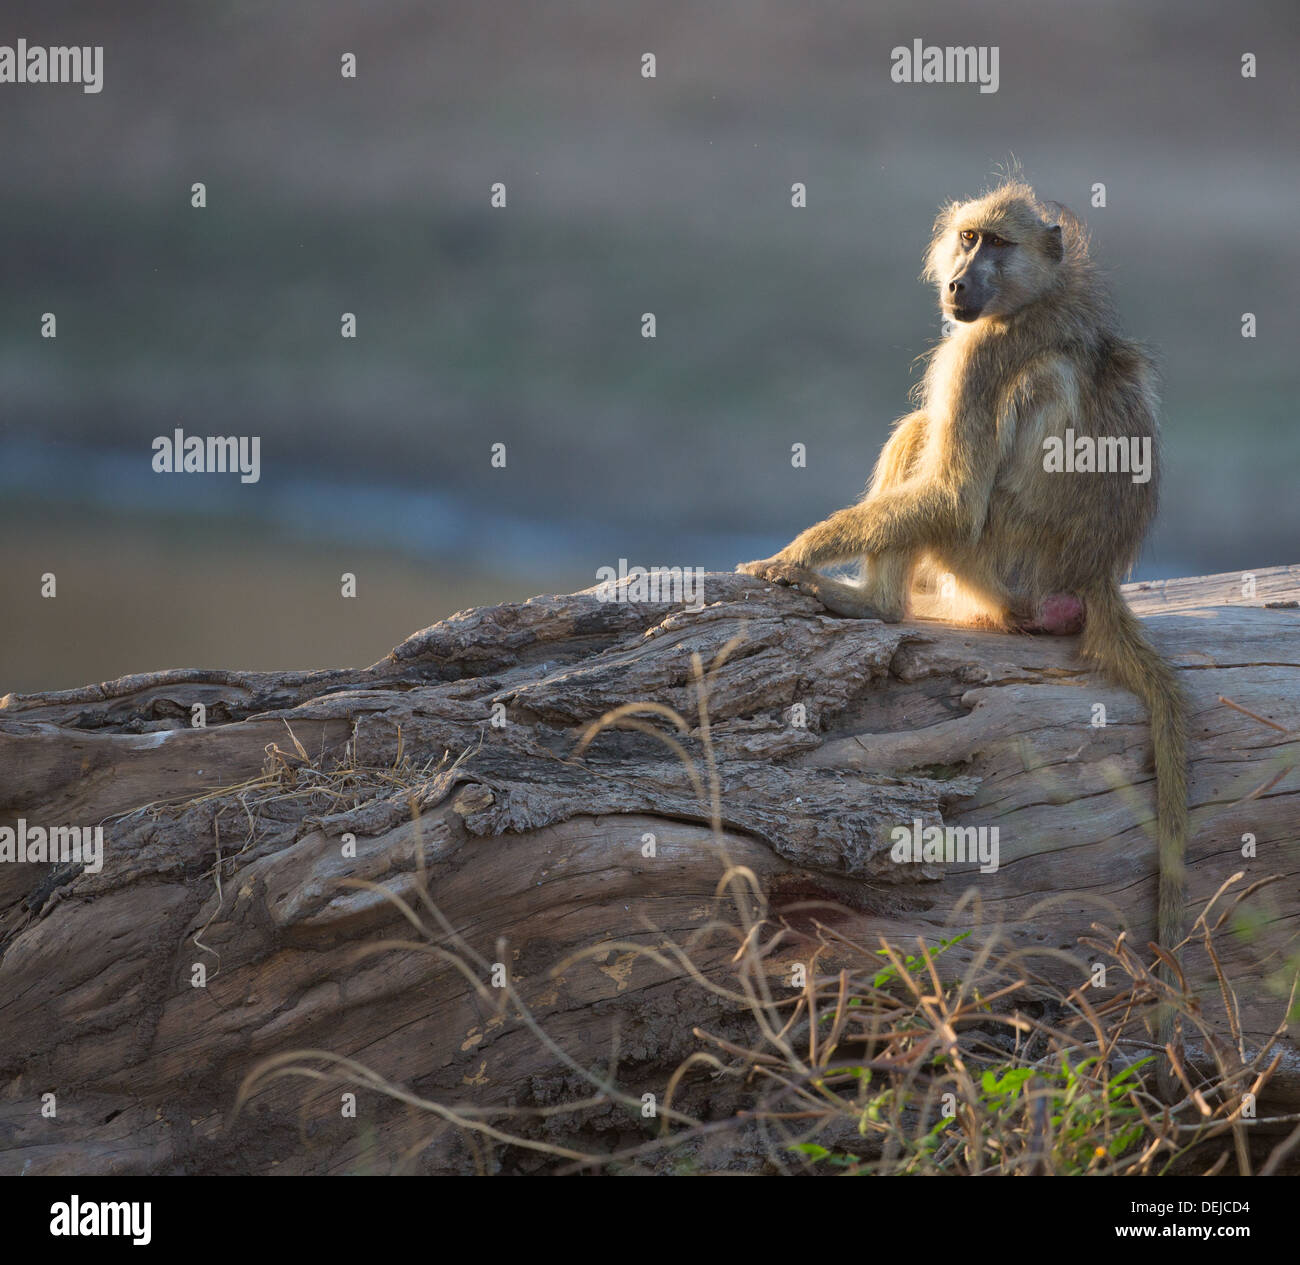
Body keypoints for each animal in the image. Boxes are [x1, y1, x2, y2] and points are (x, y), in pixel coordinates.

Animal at [739, 180, 1188, 1094]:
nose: (956, 283)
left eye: (995, 245)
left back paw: (872, 604)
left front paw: (794, 555)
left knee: (929, 443)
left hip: (991, 566)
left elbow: (949, 490)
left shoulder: (979, 355)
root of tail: (1093, 580)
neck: (1040, 297)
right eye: (967, 238)